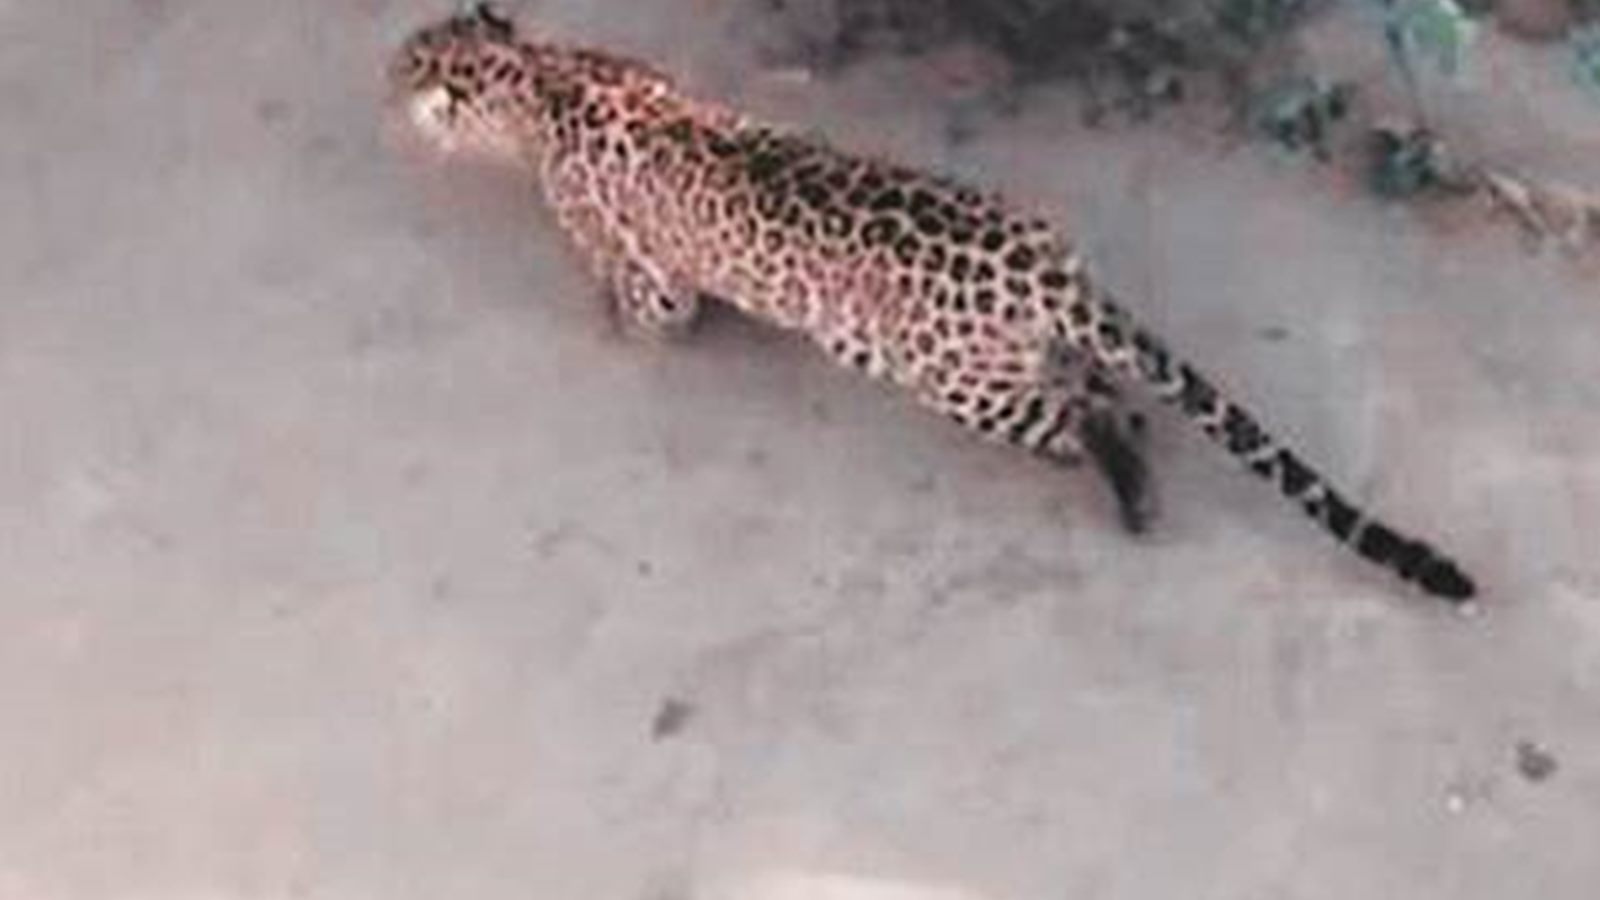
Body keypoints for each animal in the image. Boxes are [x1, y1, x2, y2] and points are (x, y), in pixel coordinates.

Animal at [386, 4, 1478, 605]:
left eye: (401, 65)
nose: (381, 78)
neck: (535, 75)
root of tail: (1045, 263)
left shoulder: (642, 267)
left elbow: (644, 306)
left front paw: (607, 321)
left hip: (952, 381)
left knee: (1094, 415)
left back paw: (1131, 497)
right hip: (1014, 351)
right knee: (1101, 383)